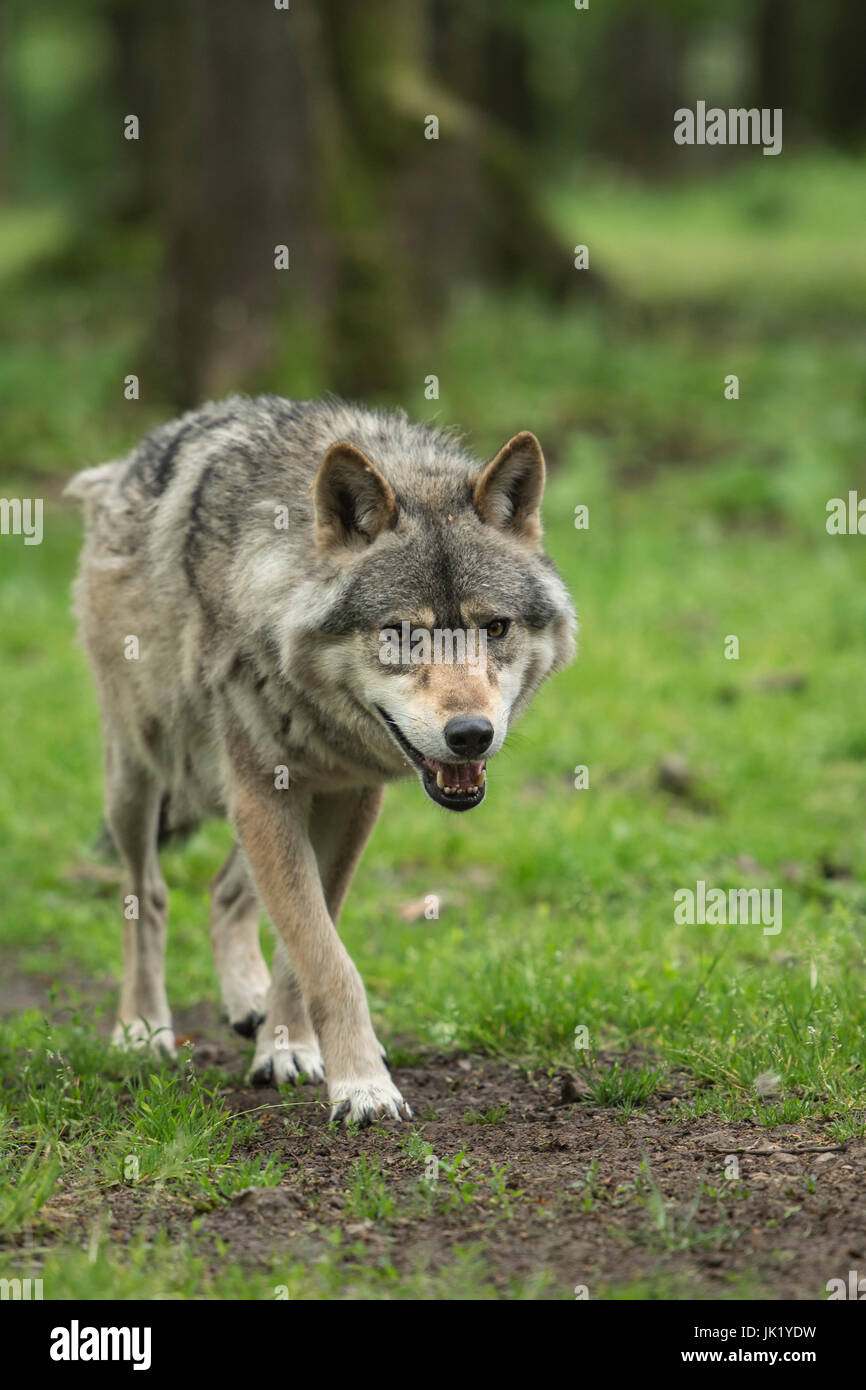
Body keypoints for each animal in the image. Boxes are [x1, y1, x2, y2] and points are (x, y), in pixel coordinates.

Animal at [65, 396, 576, 1124]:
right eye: (401, 633)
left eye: (495, 628)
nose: (471, 734)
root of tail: (121, 467)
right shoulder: (264, 794)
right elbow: (327, 961)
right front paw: (362, 1087)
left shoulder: (348, 796)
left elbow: (304, 943)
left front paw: (286, 1047)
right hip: (137, 777)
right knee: (148, 895)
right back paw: (142, 1029)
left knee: (225, 889)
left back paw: (246, 1003)